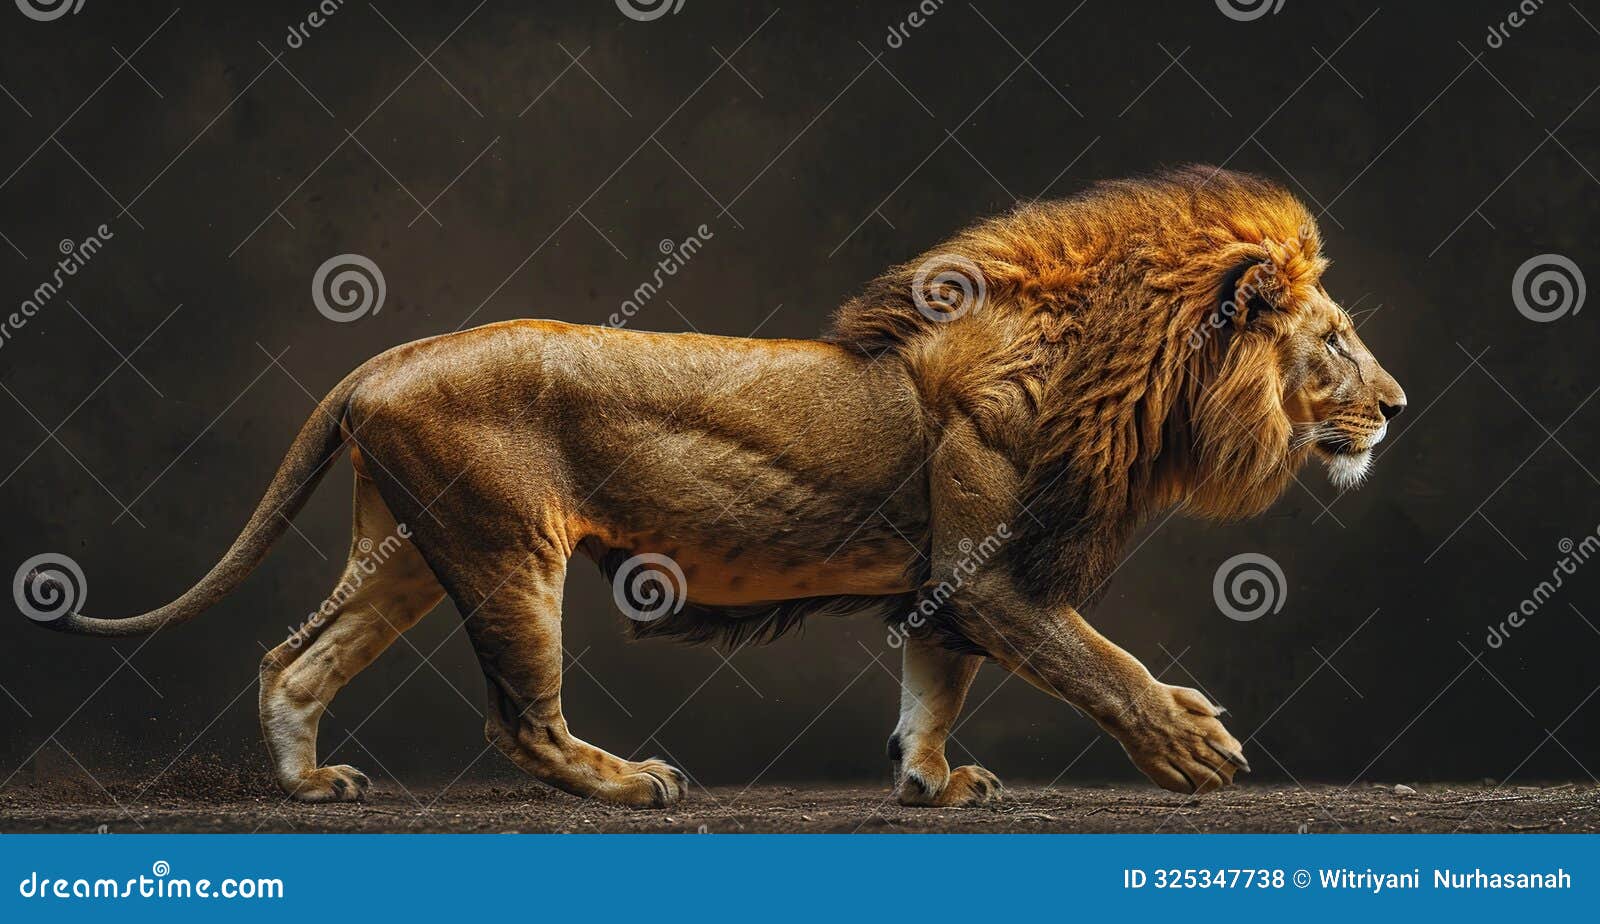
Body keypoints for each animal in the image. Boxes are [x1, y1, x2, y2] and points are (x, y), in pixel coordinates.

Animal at [35, 166, 1404, 808]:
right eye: (1335, 343)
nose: (1396, 408)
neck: (1132, 379)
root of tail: (384, 358)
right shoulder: (992, 576)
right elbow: (1096, 660)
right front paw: (1192, 742)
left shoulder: (945, 588)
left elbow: (934, 688)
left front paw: (931, 782)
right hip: (507, 548)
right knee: (518, 721)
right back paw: (625, 782)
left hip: (415, 549)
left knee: (294, 657)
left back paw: (309, 784)